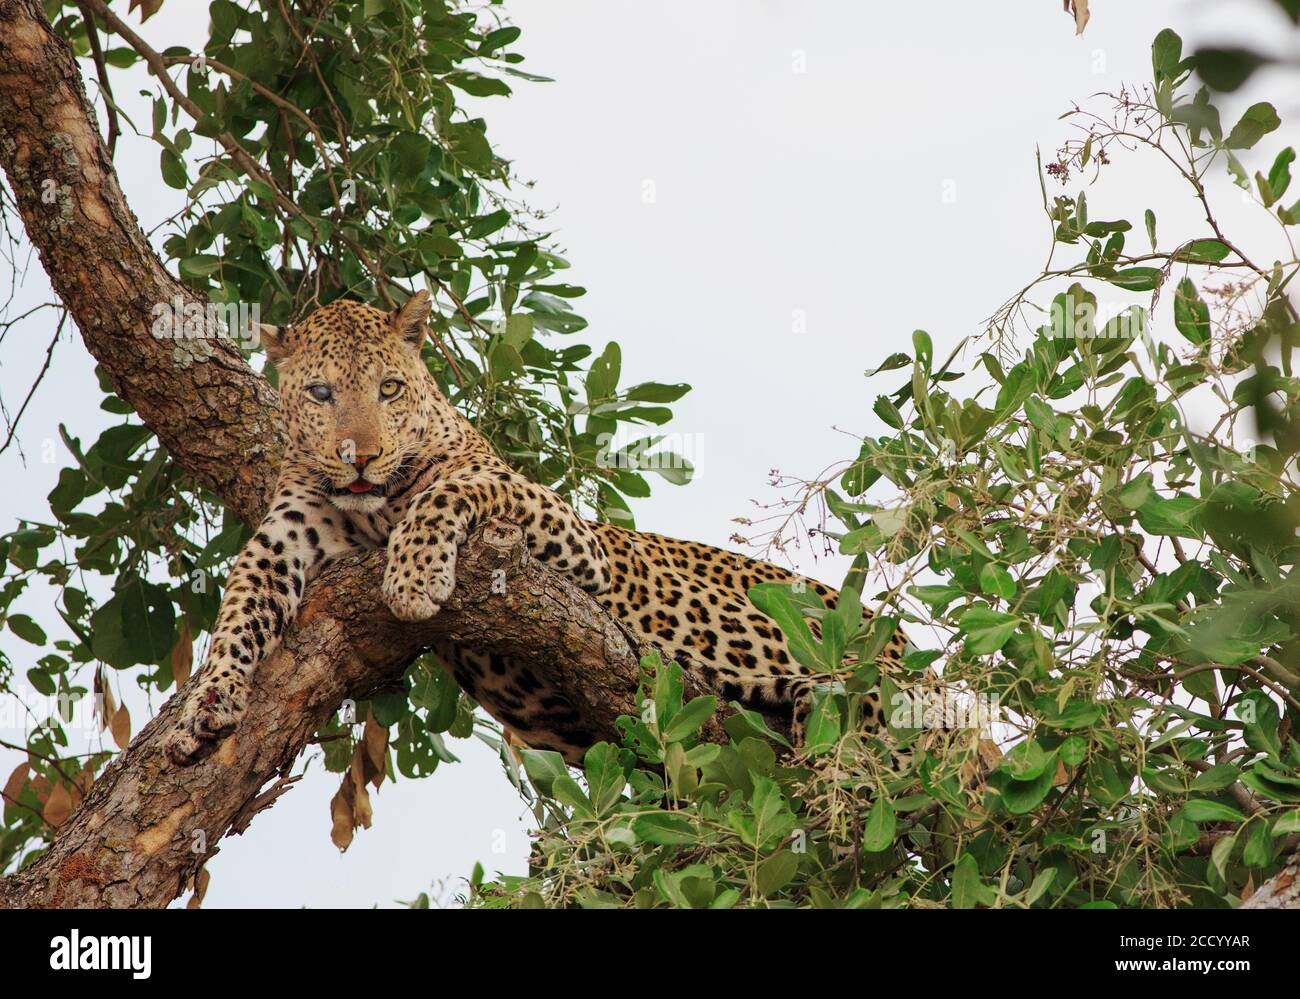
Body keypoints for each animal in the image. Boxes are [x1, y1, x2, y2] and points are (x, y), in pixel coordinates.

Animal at [161, 291, 912, 768]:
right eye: (321, 394)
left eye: (389, 390)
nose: (361, 456)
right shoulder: (285, 533)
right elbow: (238, 606)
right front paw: (209, 700)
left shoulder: (569, 535)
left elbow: (454, 489)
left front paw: (413, 577)